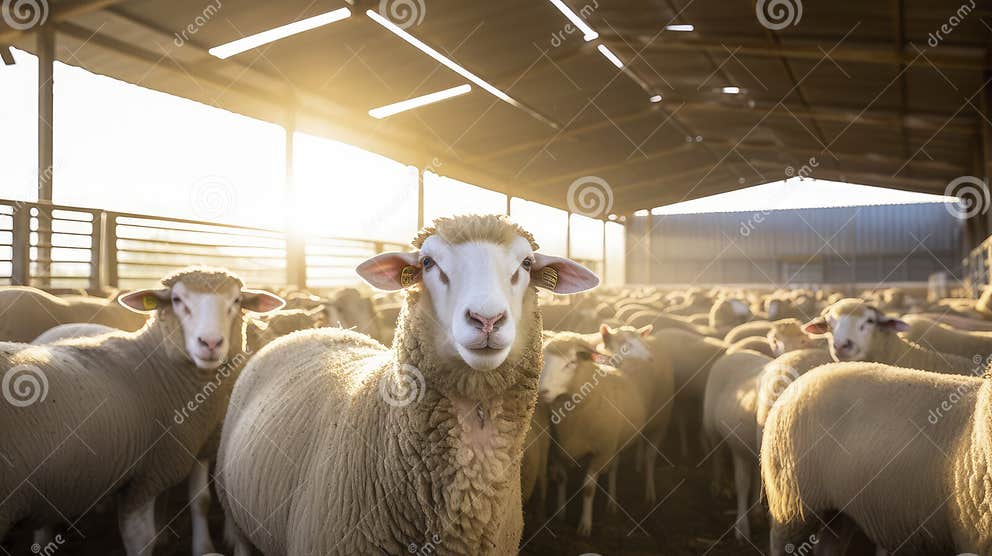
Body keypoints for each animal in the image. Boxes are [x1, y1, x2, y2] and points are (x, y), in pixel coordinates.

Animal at [539, 332, 646, 535]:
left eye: (571, 363)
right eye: (542, 360)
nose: (542, 391)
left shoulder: (602, 452)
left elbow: (588, 489)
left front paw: (585, 525)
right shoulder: (557, 450)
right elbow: (561, 479)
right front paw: (560, 513)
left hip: (616, 446)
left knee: (613, 469)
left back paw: (611, 504)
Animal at [599, 324, 676, 503]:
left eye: (641, 342)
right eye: (622, 343)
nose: (650, 358)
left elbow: (649, 457)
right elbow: (613, 466)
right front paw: (611, 500)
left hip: (660, 419)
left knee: (650, 456)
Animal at [702, 350, 772, 541]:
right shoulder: (738, 448)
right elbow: (742, 483)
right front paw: (741, 528)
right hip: (711, 427)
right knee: (717, 455)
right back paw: (718, 485)